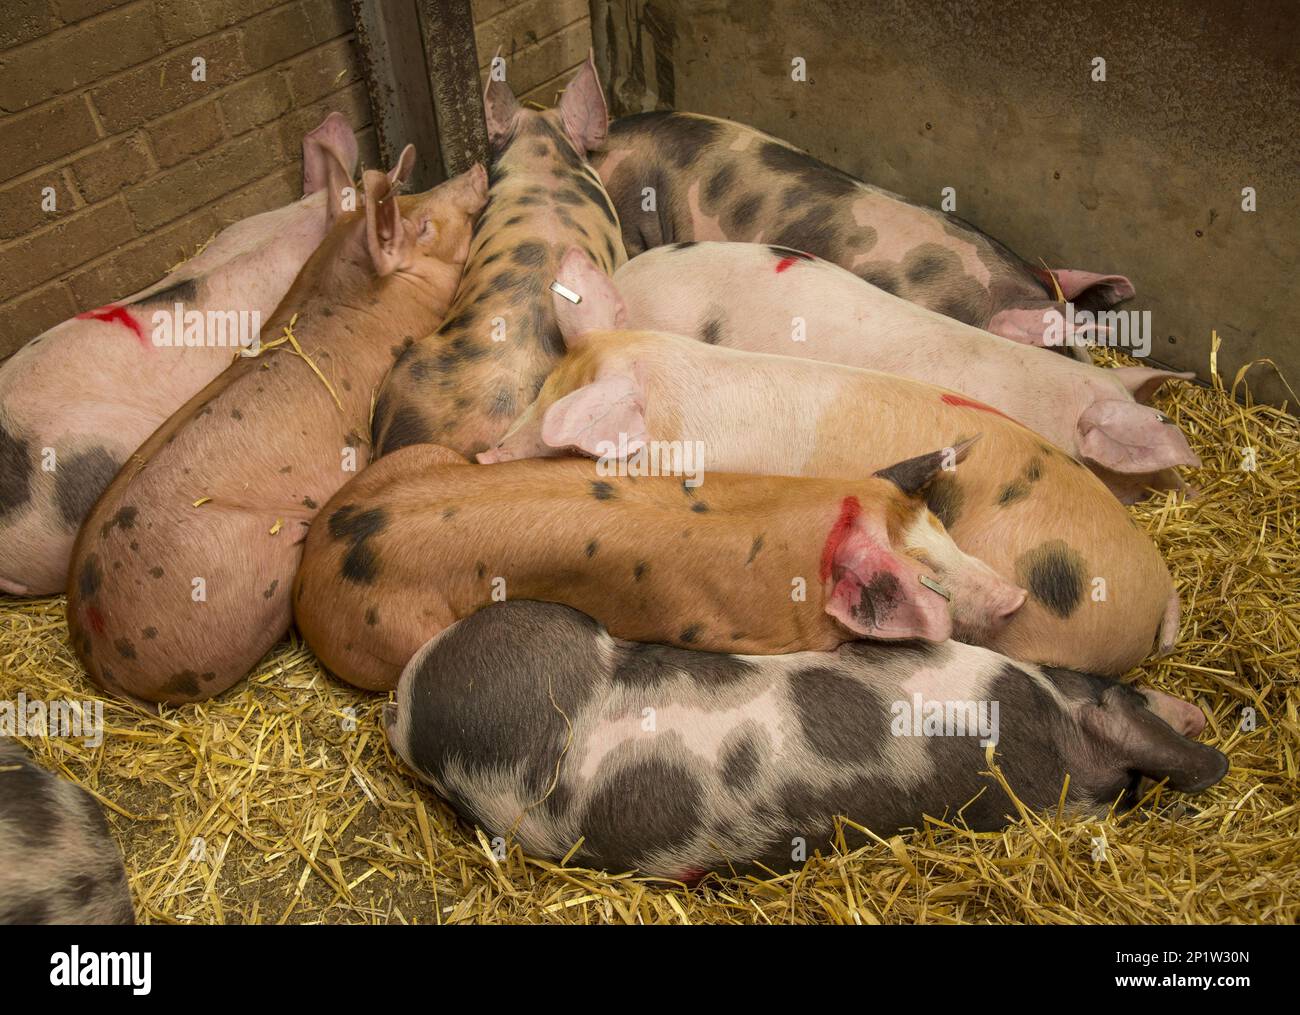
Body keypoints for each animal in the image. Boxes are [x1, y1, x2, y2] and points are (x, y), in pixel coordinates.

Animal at [293, 442, 1025, 691]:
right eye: (925, 575)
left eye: (944, 532)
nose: (1016, 597)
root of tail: (310, 575)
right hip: (392, 634)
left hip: (418, 455)